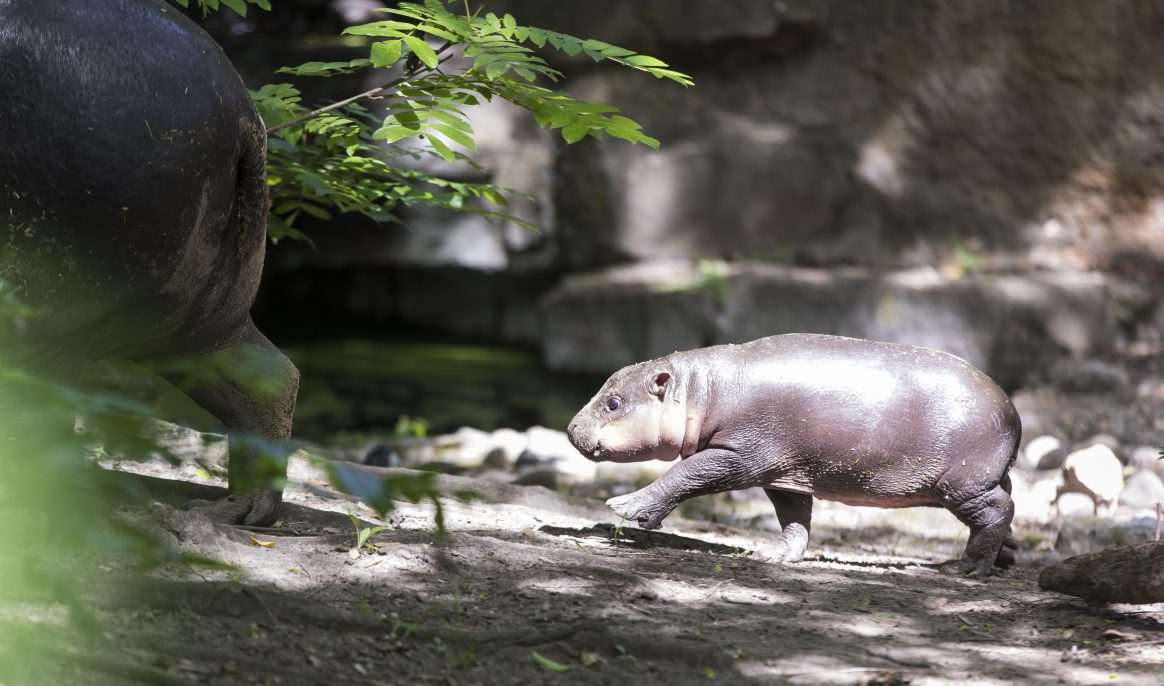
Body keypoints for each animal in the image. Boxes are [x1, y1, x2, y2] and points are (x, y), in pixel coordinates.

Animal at [0, 0, 297, 525]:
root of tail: (242, 116)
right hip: (191, 313)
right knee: (267, 373)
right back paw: (238, 511)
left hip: (51, 311)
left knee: (36, 411)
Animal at [566, 334, 1021, 576]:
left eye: (613, 403)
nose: (570, 429)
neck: (701, 391)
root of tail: (1012, 412)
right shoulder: (786, 472)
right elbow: (794, 517)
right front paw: (775, 556)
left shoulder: (739, 454)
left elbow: (687, 473)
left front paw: (624, 507)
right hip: (985, 478)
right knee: (1004, 506)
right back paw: (1006, 557)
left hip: (962, 484)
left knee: (998, 510)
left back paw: (961, 568)